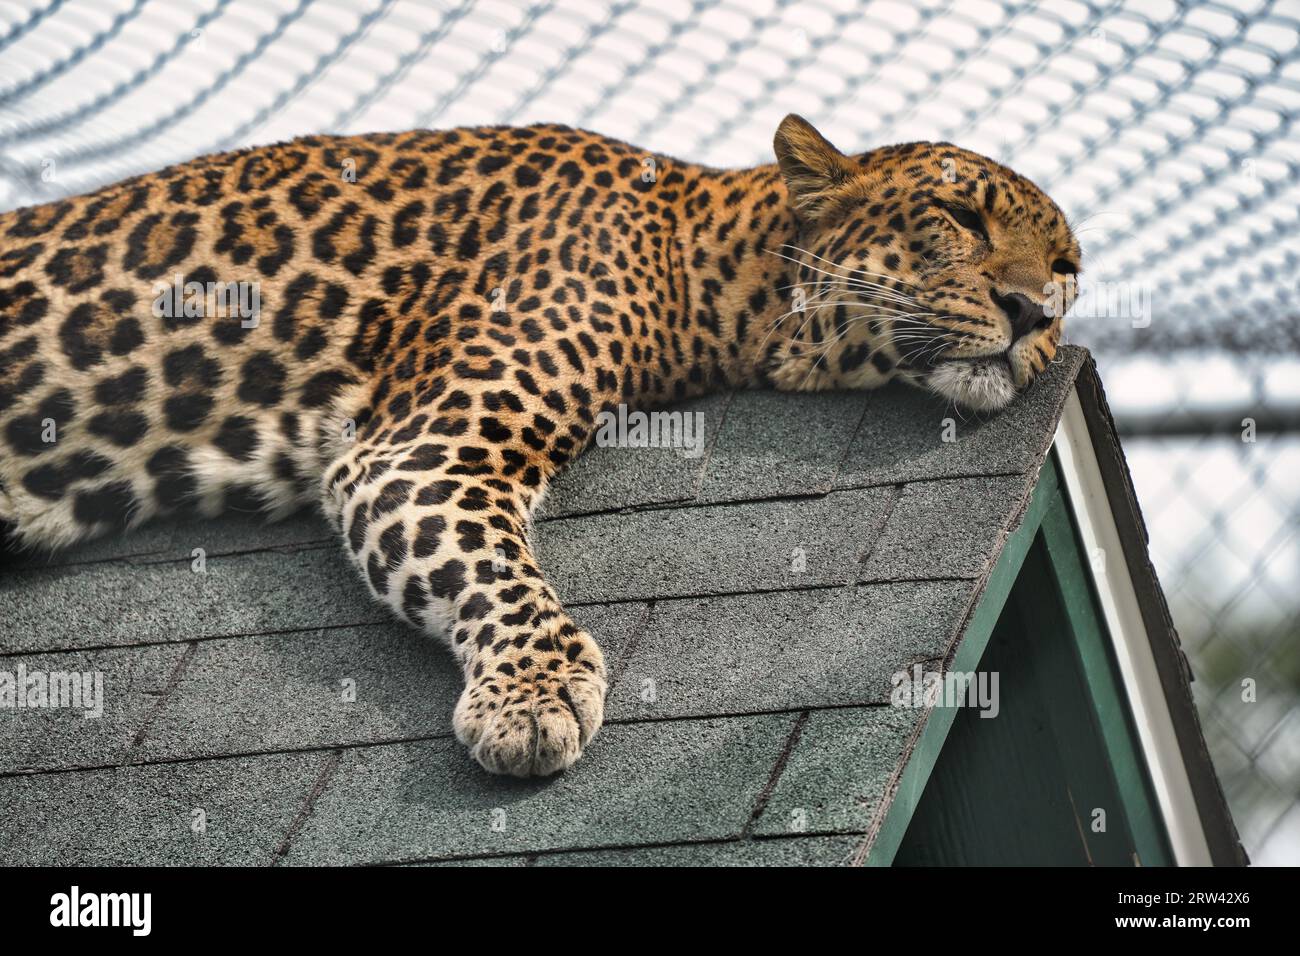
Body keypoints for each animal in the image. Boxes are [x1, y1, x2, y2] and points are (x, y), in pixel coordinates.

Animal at [0, 114, 1080, 776]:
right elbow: (495, 572)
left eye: (1066, 264)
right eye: (958, 214)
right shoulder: (421, 448)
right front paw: (531, 697)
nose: (1037, 312)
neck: (699, 263)